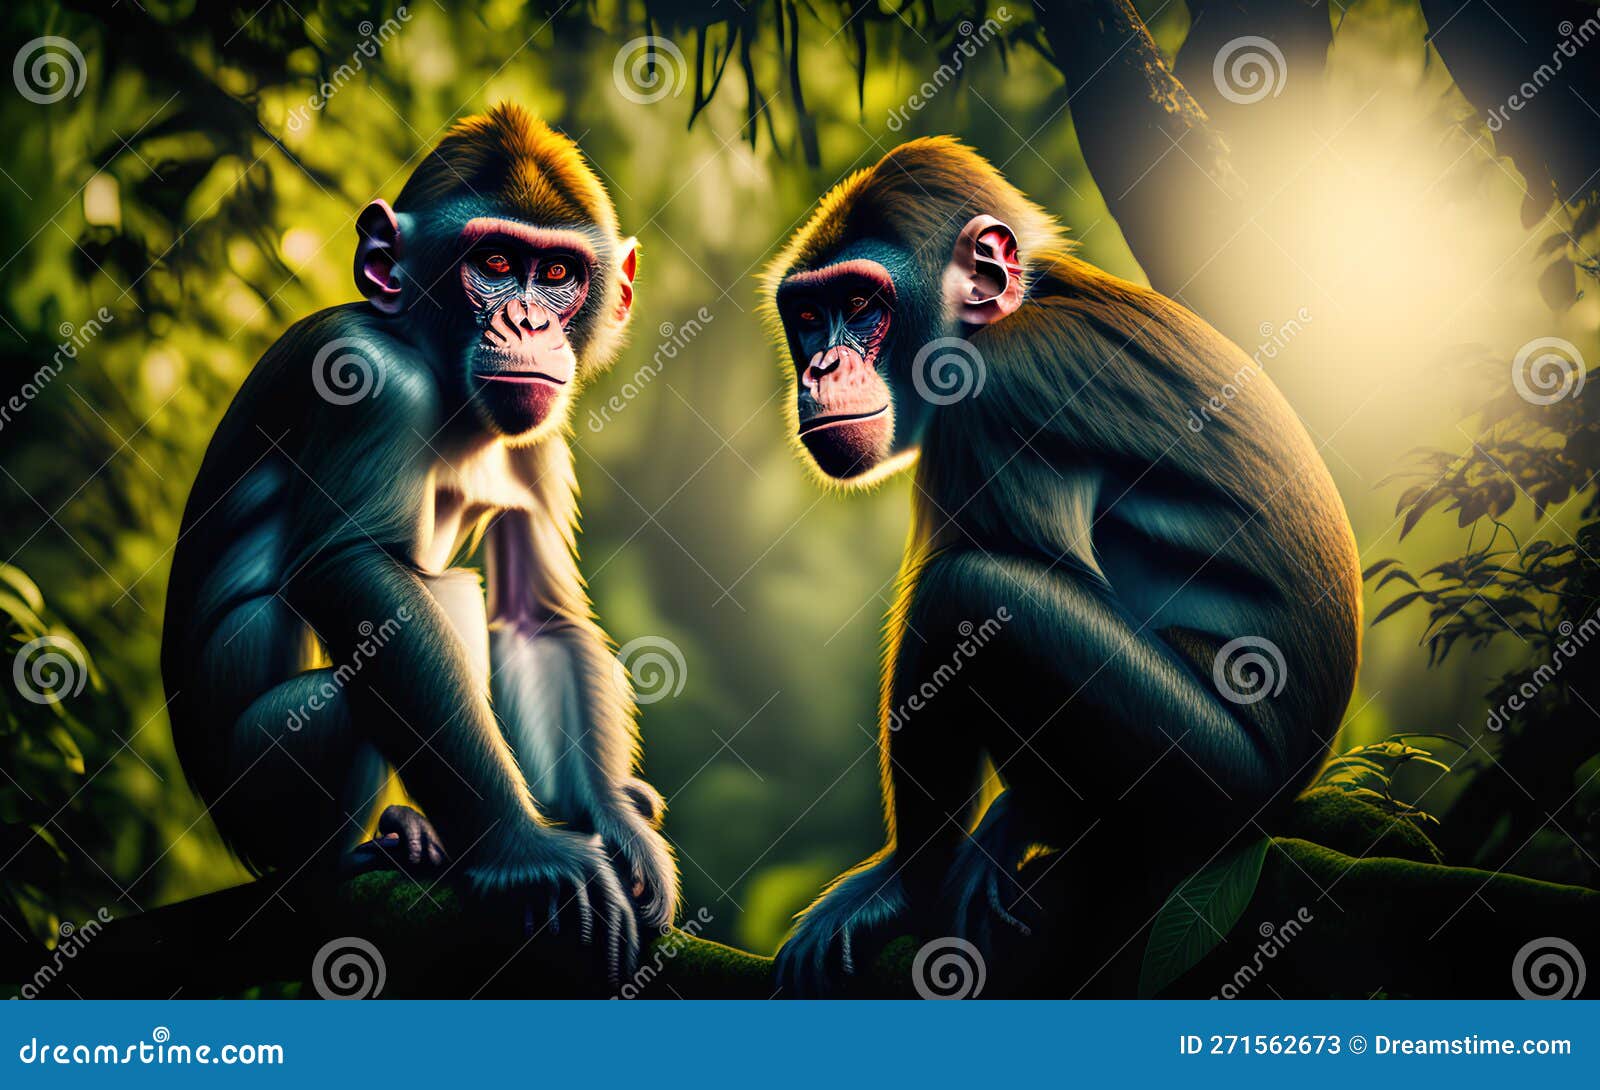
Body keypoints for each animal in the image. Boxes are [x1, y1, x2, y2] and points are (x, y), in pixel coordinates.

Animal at [160, 104, 678, 976]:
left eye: (558, 273)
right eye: (495, 262)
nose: (529, 321)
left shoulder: (545, 428)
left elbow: (537, 618)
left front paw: (616, 822)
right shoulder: (367, 375)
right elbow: (353, 572)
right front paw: (523, 850)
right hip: (260, 784)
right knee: (390, 647)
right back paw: (366, 853)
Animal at [761, 137, 1361, 995]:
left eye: (864, 304)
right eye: (810, 316)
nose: (820, 367)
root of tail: (1295, 784)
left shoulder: (997, 394)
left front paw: (905, 885)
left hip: (1211, 774)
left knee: (973, 592)